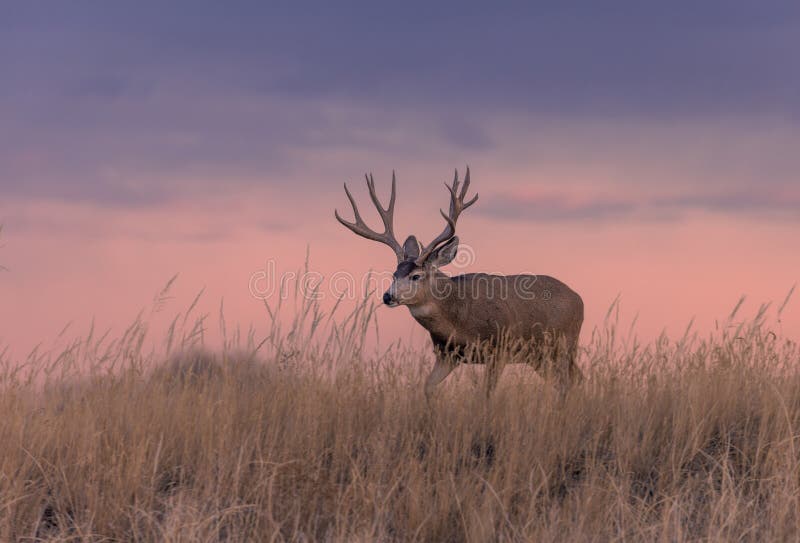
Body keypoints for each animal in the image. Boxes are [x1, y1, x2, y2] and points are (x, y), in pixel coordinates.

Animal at [335, 169, 584, 398]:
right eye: (394, 274)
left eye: (416, 276)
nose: (388, 296)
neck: (459, 320)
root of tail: (578, 299)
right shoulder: (447, 355)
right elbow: (427, 387)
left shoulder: (499, 349)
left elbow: (486, 394)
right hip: (539, 356)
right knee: (572, 379)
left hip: (564, 344)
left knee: (568, 382)